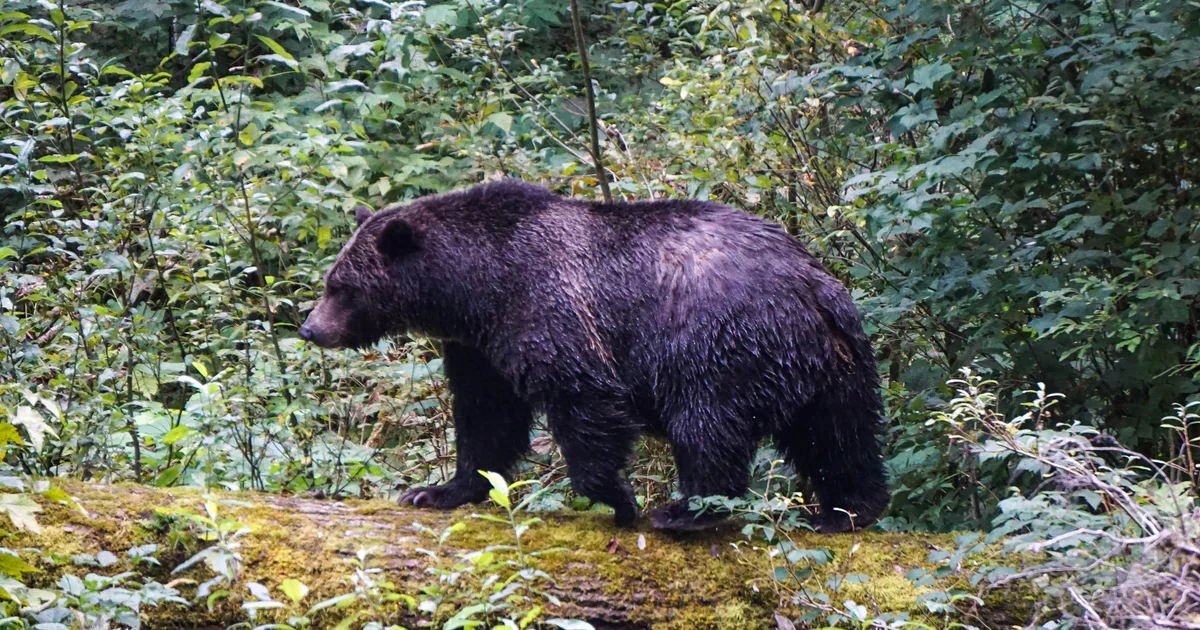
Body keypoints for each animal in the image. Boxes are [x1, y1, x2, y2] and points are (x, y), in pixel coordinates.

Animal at [299, 180, 889, 533]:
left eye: (341, 287)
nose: (310, 328)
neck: (476, 288)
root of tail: (812, 284)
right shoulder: (478, 348)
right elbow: (487, 420)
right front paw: (437, 490)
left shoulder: (549, 309)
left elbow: (583, 398)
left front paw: (619, 499)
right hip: (836, 364)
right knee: (841, 437)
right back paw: (846, 511)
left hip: (717, 343)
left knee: (708, 426)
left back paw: (683, 510)